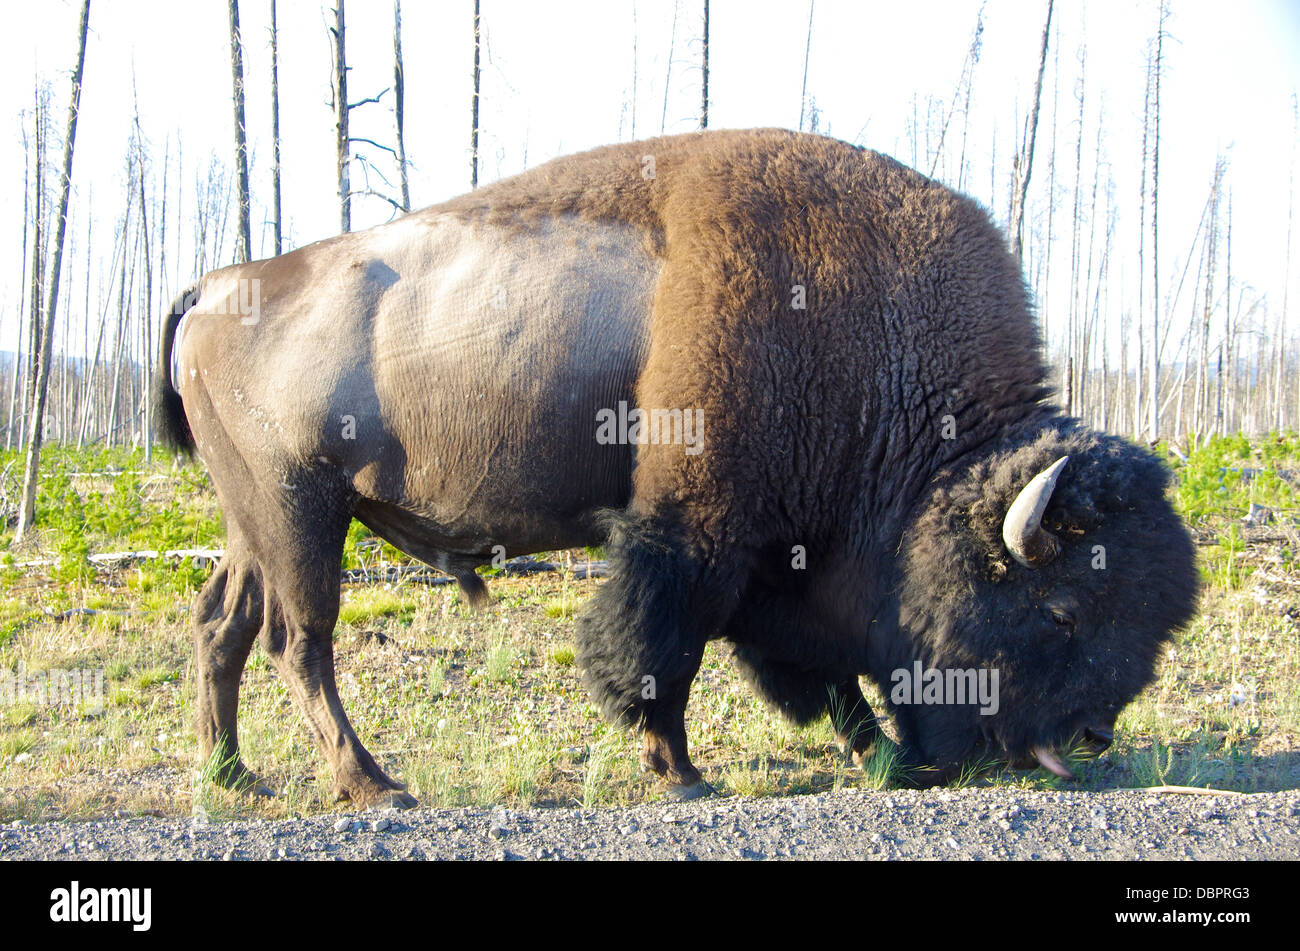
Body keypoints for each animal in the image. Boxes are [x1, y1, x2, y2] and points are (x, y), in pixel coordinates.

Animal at [155, 128, 1199, 806]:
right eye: (1062, 610)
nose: (1089, 736)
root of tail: (215, 284)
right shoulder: (697, 532)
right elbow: (664, 646)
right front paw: (686, 775)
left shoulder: (778, 558)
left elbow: (812, 668)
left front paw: (875, 757)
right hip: (301, 512)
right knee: (301, 640)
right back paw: (373, 786)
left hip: (255, 520)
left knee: (222, 623)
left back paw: (234, 775)